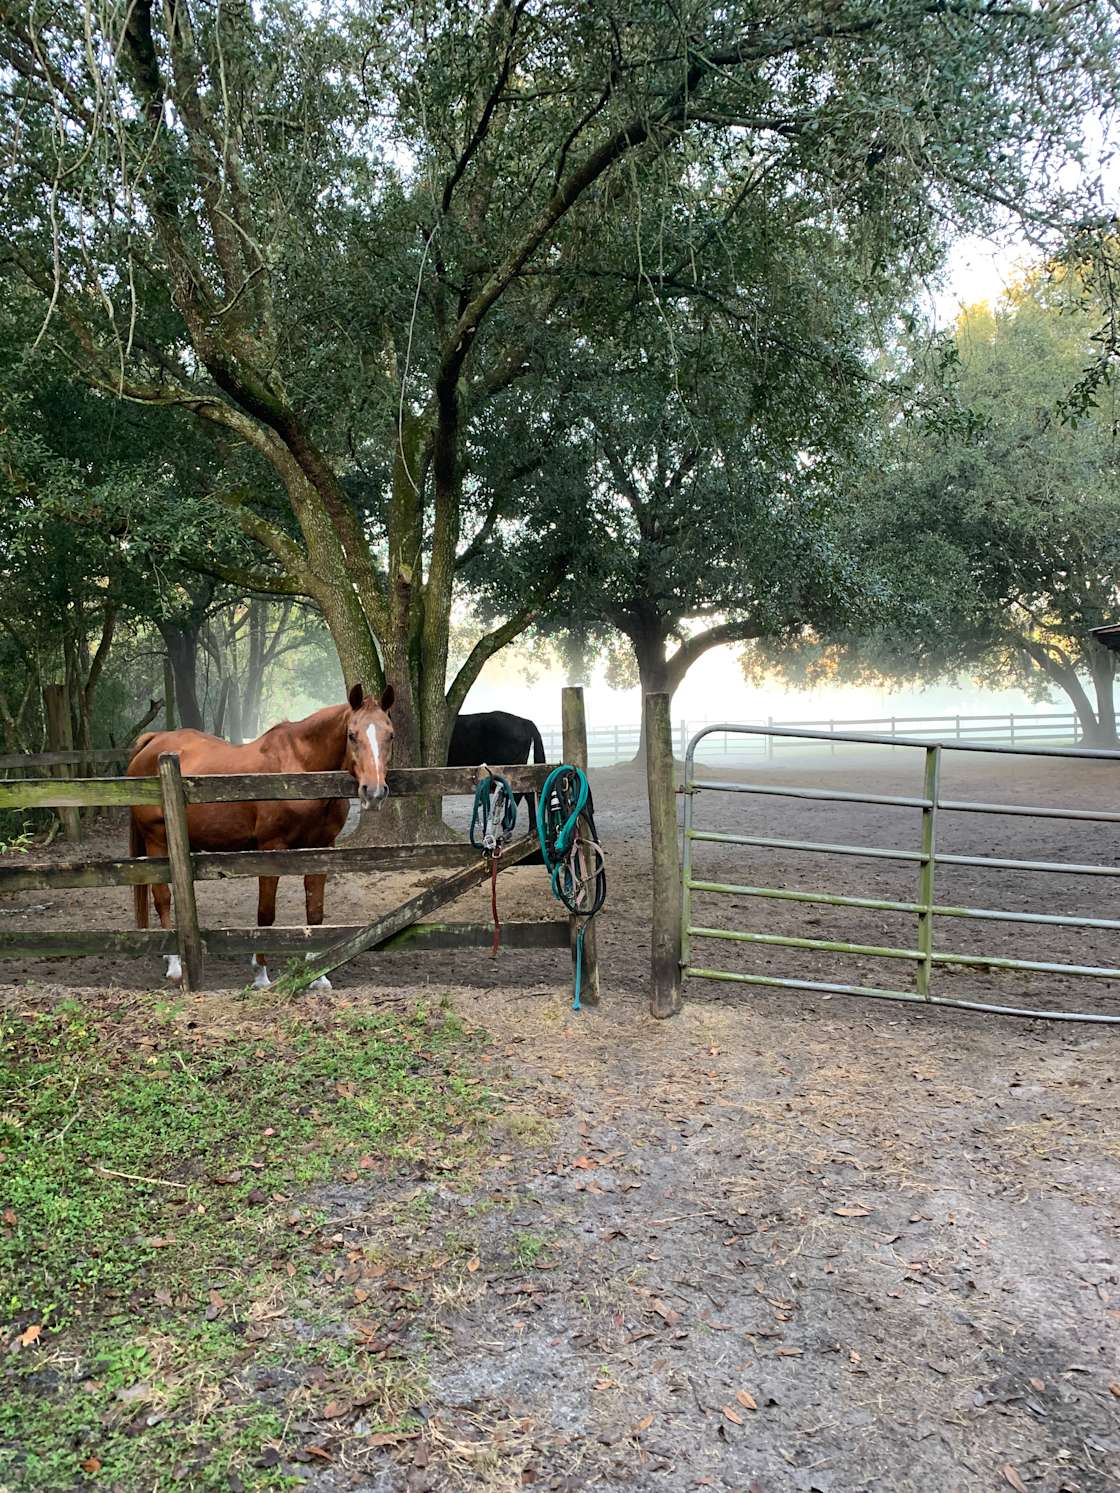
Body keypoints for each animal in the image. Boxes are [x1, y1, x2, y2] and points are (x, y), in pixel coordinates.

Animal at [128, 683, 395, 989]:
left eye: (390, 735)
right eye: (352, 735)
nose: (373, 792)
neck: (298, 768)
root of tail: (154, 741)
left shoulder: (322, 848)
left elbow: (315, 911)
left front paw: (319, 975)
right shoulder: (270, 849)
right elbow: (266, 913)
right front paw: (261, 974)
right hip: (157, 840)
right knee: (162, 897)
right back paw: (174, 965)